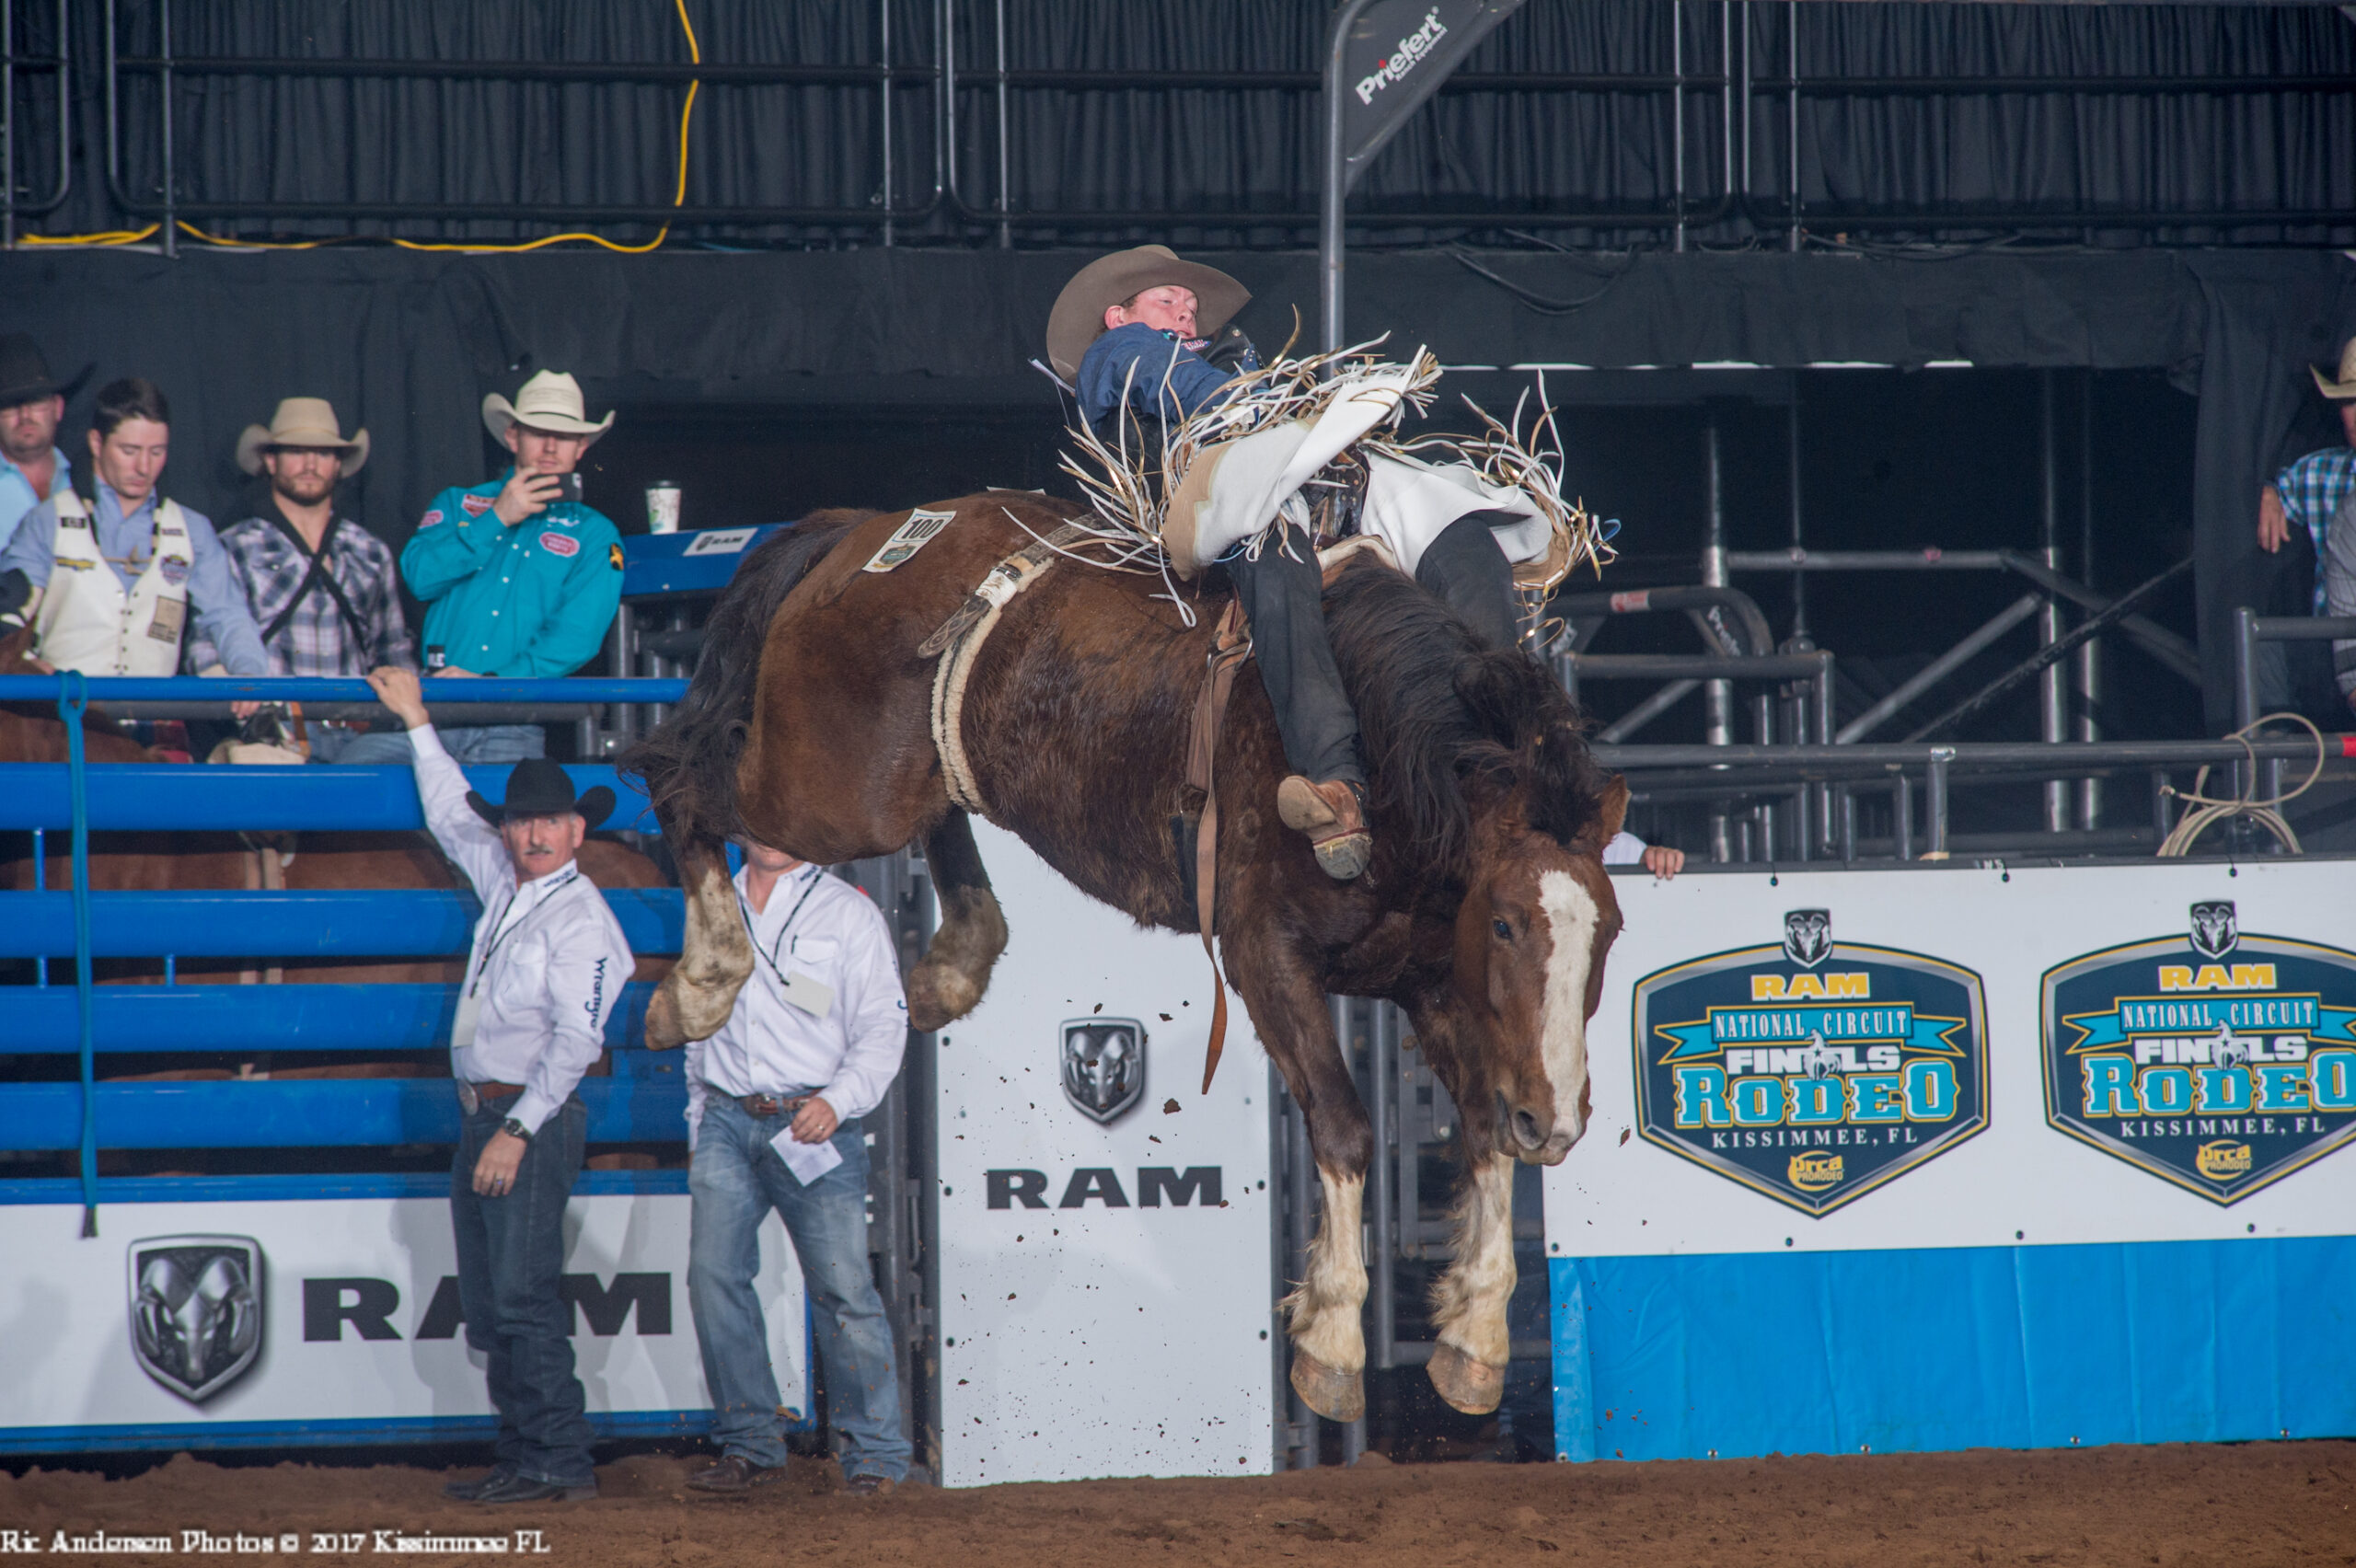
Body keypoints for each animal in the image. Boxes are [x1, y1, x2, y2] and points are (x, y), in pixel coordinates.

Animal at [623, 492, 1627, 1424]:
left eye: (1611, 929)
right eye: (1505, 924)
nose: (1557, 1122)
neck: (1383, 761)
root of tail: (861, 532)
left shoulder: (1434, 983)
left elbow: (1484, 1130)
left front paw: (1475, 1336)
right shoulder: (1268, 959)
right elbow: (1344, 1126)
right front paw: (1333, 1339)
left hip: (897, 781)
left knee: (935, 807)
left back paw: (956, 958)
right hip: (826, 795)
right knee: (676, 781)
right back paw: (701, 984)